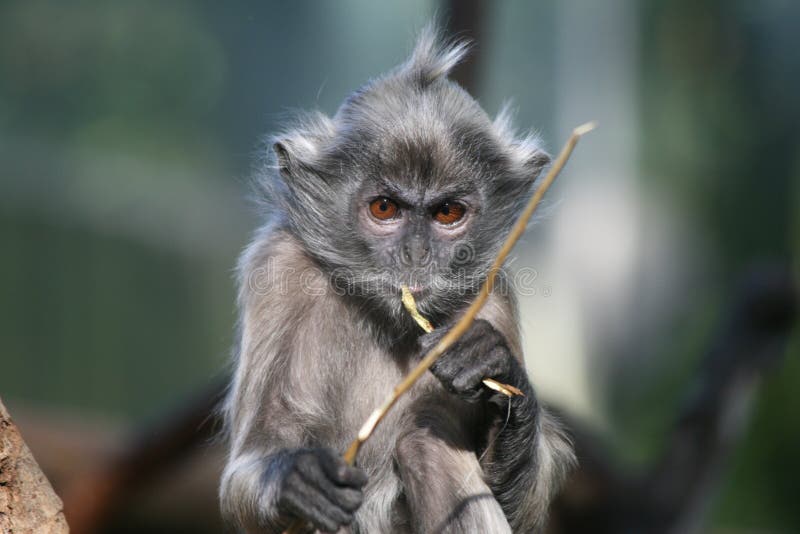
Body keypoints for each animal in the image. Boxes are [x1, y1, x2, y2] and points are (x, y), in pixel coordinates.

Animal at [219, 25, 575, 534]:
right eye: (385, 207)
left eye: (447, 213)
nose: (416, 255)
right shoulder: (279, 267)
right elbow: (246, 476)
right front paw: (298, 478)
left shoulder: (493, 295)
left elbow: (522, 510)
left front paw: (493, 367)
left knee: (426, 445)